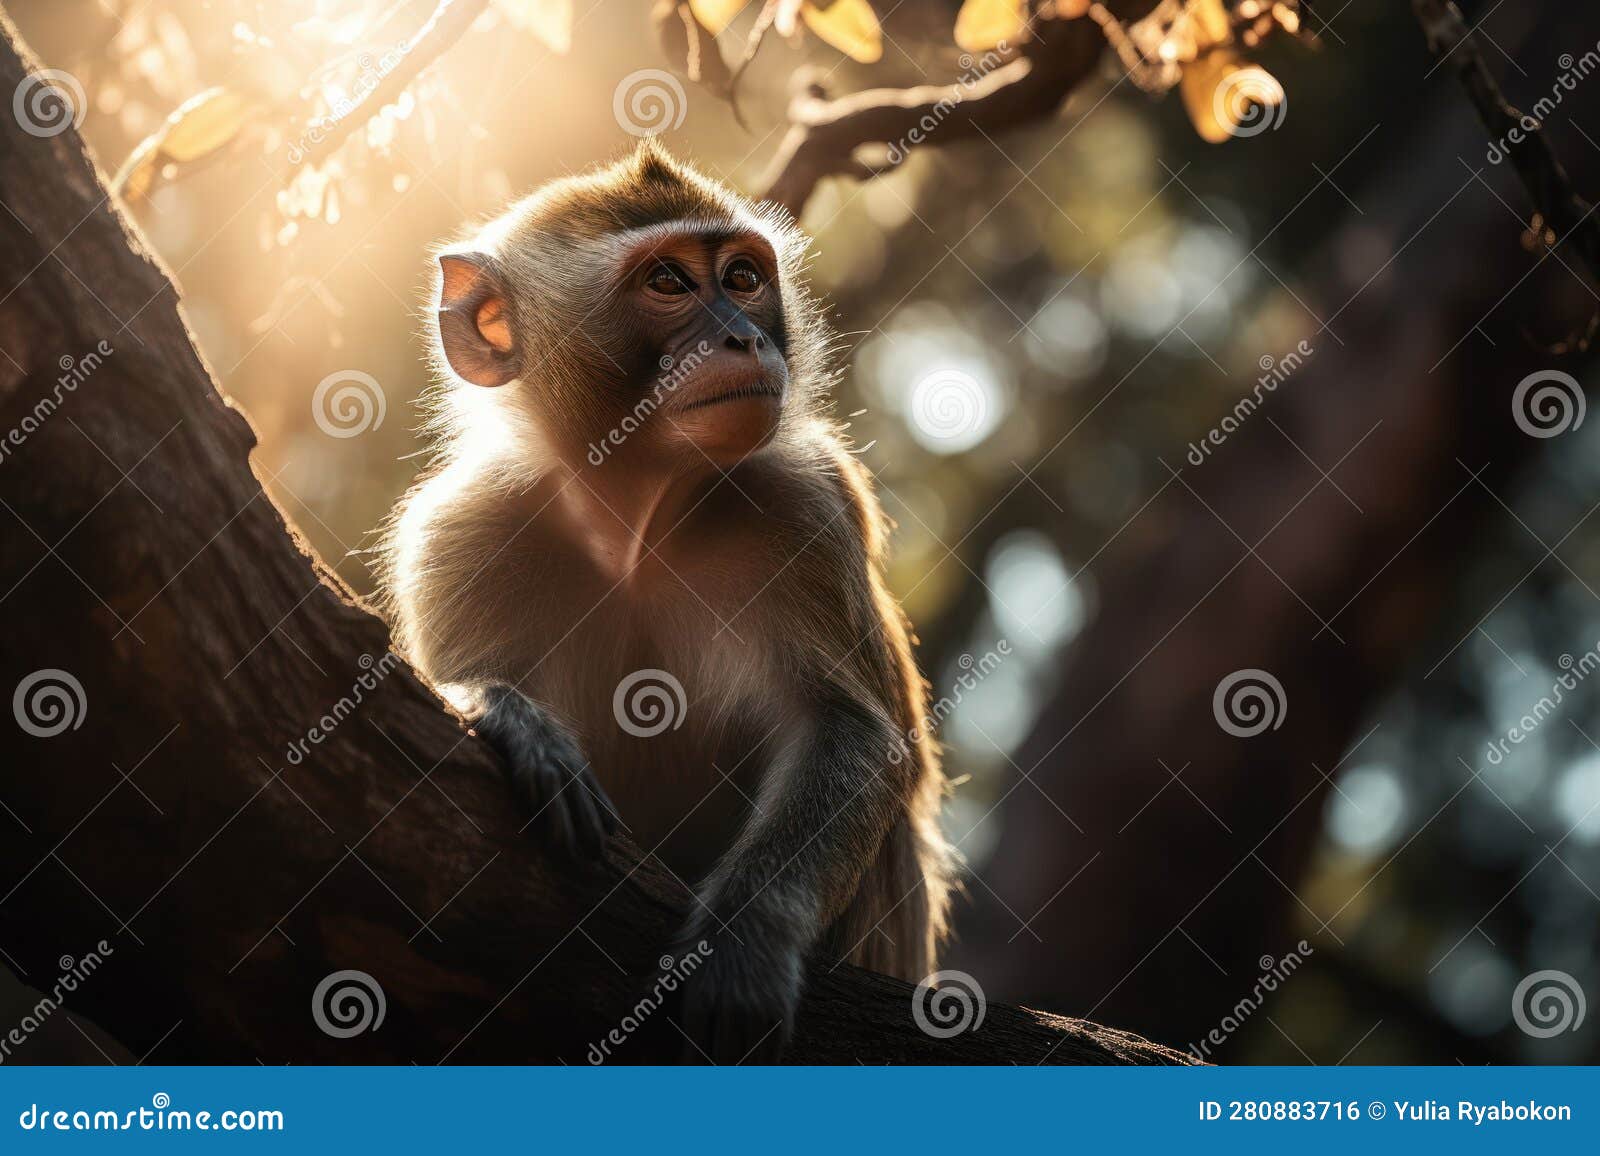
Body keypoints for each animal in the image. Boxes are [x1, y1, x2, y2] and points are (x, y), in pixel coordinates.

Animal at [379, 141, 954, 1063]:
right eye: (668, 283)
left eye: (744, 277)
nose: (743, 335)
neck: (638, 521)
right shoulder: (460, 532)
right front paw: (506, 713)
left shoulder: (803, 512)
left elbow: (851, 733)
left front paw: (745, 942)